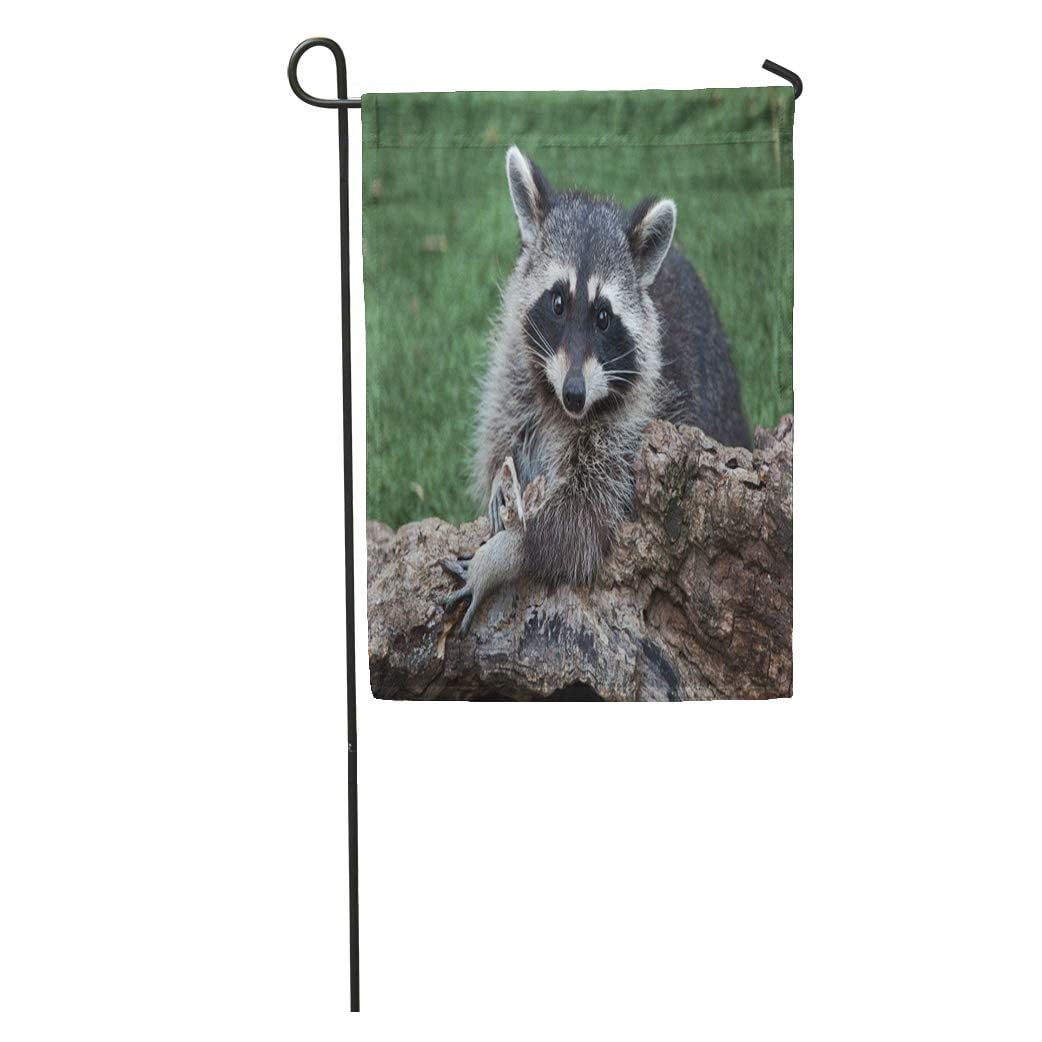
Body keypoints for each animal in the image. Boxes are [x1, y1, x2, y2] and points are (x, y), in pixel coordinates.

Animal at [441, 146, 749, 634]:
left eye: (604, 317)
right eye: (558, 302)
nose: (575, 394)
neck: (560, 406)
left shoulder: (636, 425)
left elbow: (581, 522)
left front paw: (508, 552)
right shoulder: (514, 368)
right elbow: (499, 435)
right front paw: (503, 479)